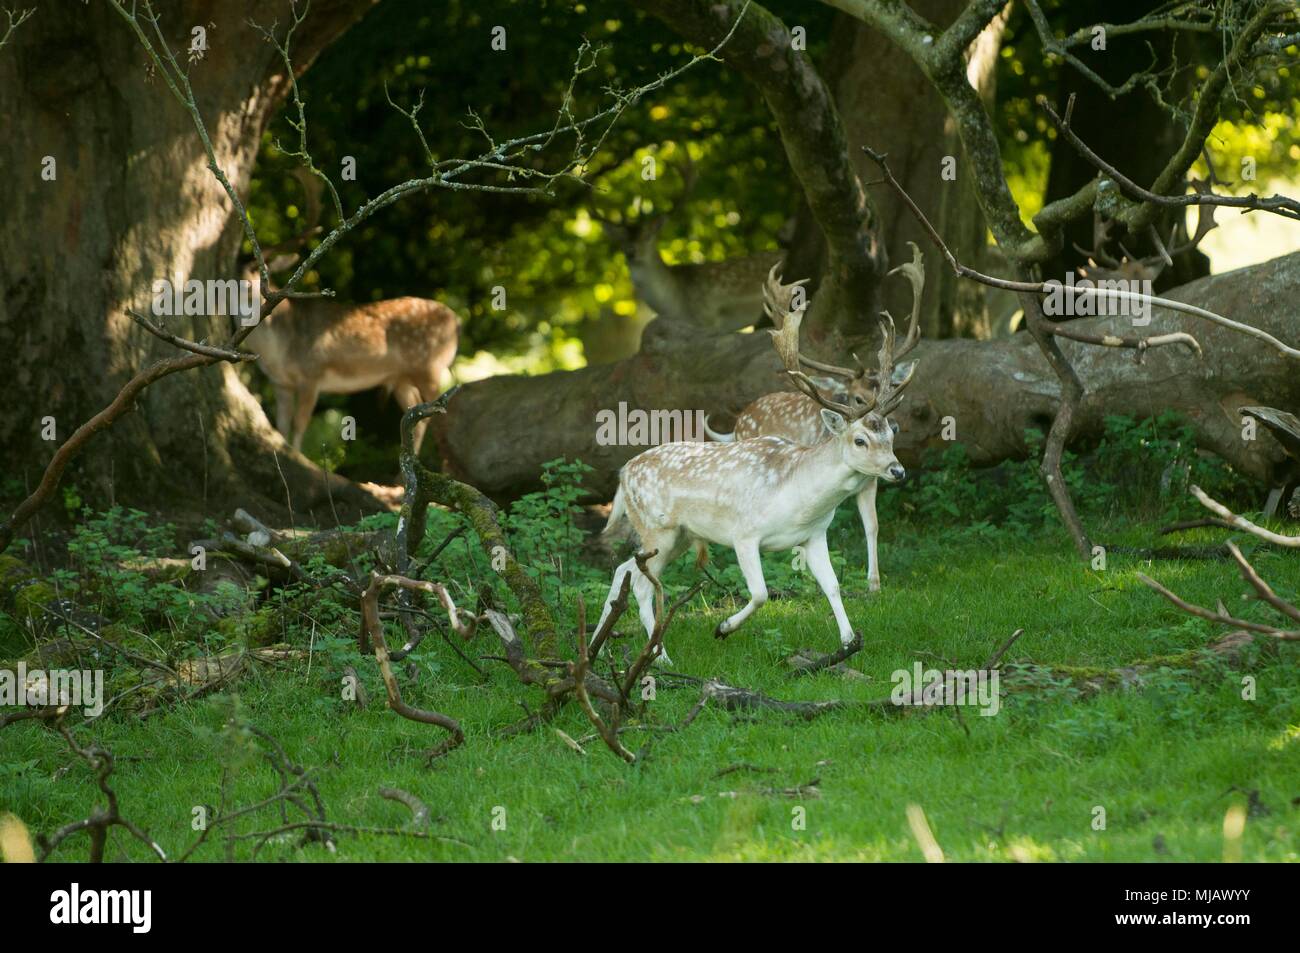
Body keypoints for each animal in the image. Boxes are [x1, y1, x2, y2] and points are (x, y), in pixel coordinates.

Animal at [700, 243, 924, 594]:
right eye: (856, 398)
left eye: (890, 434)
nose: (898, 470)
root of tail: (738, 422)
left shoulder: (870, 480)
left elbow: (872, 525)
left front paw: (874, 584)